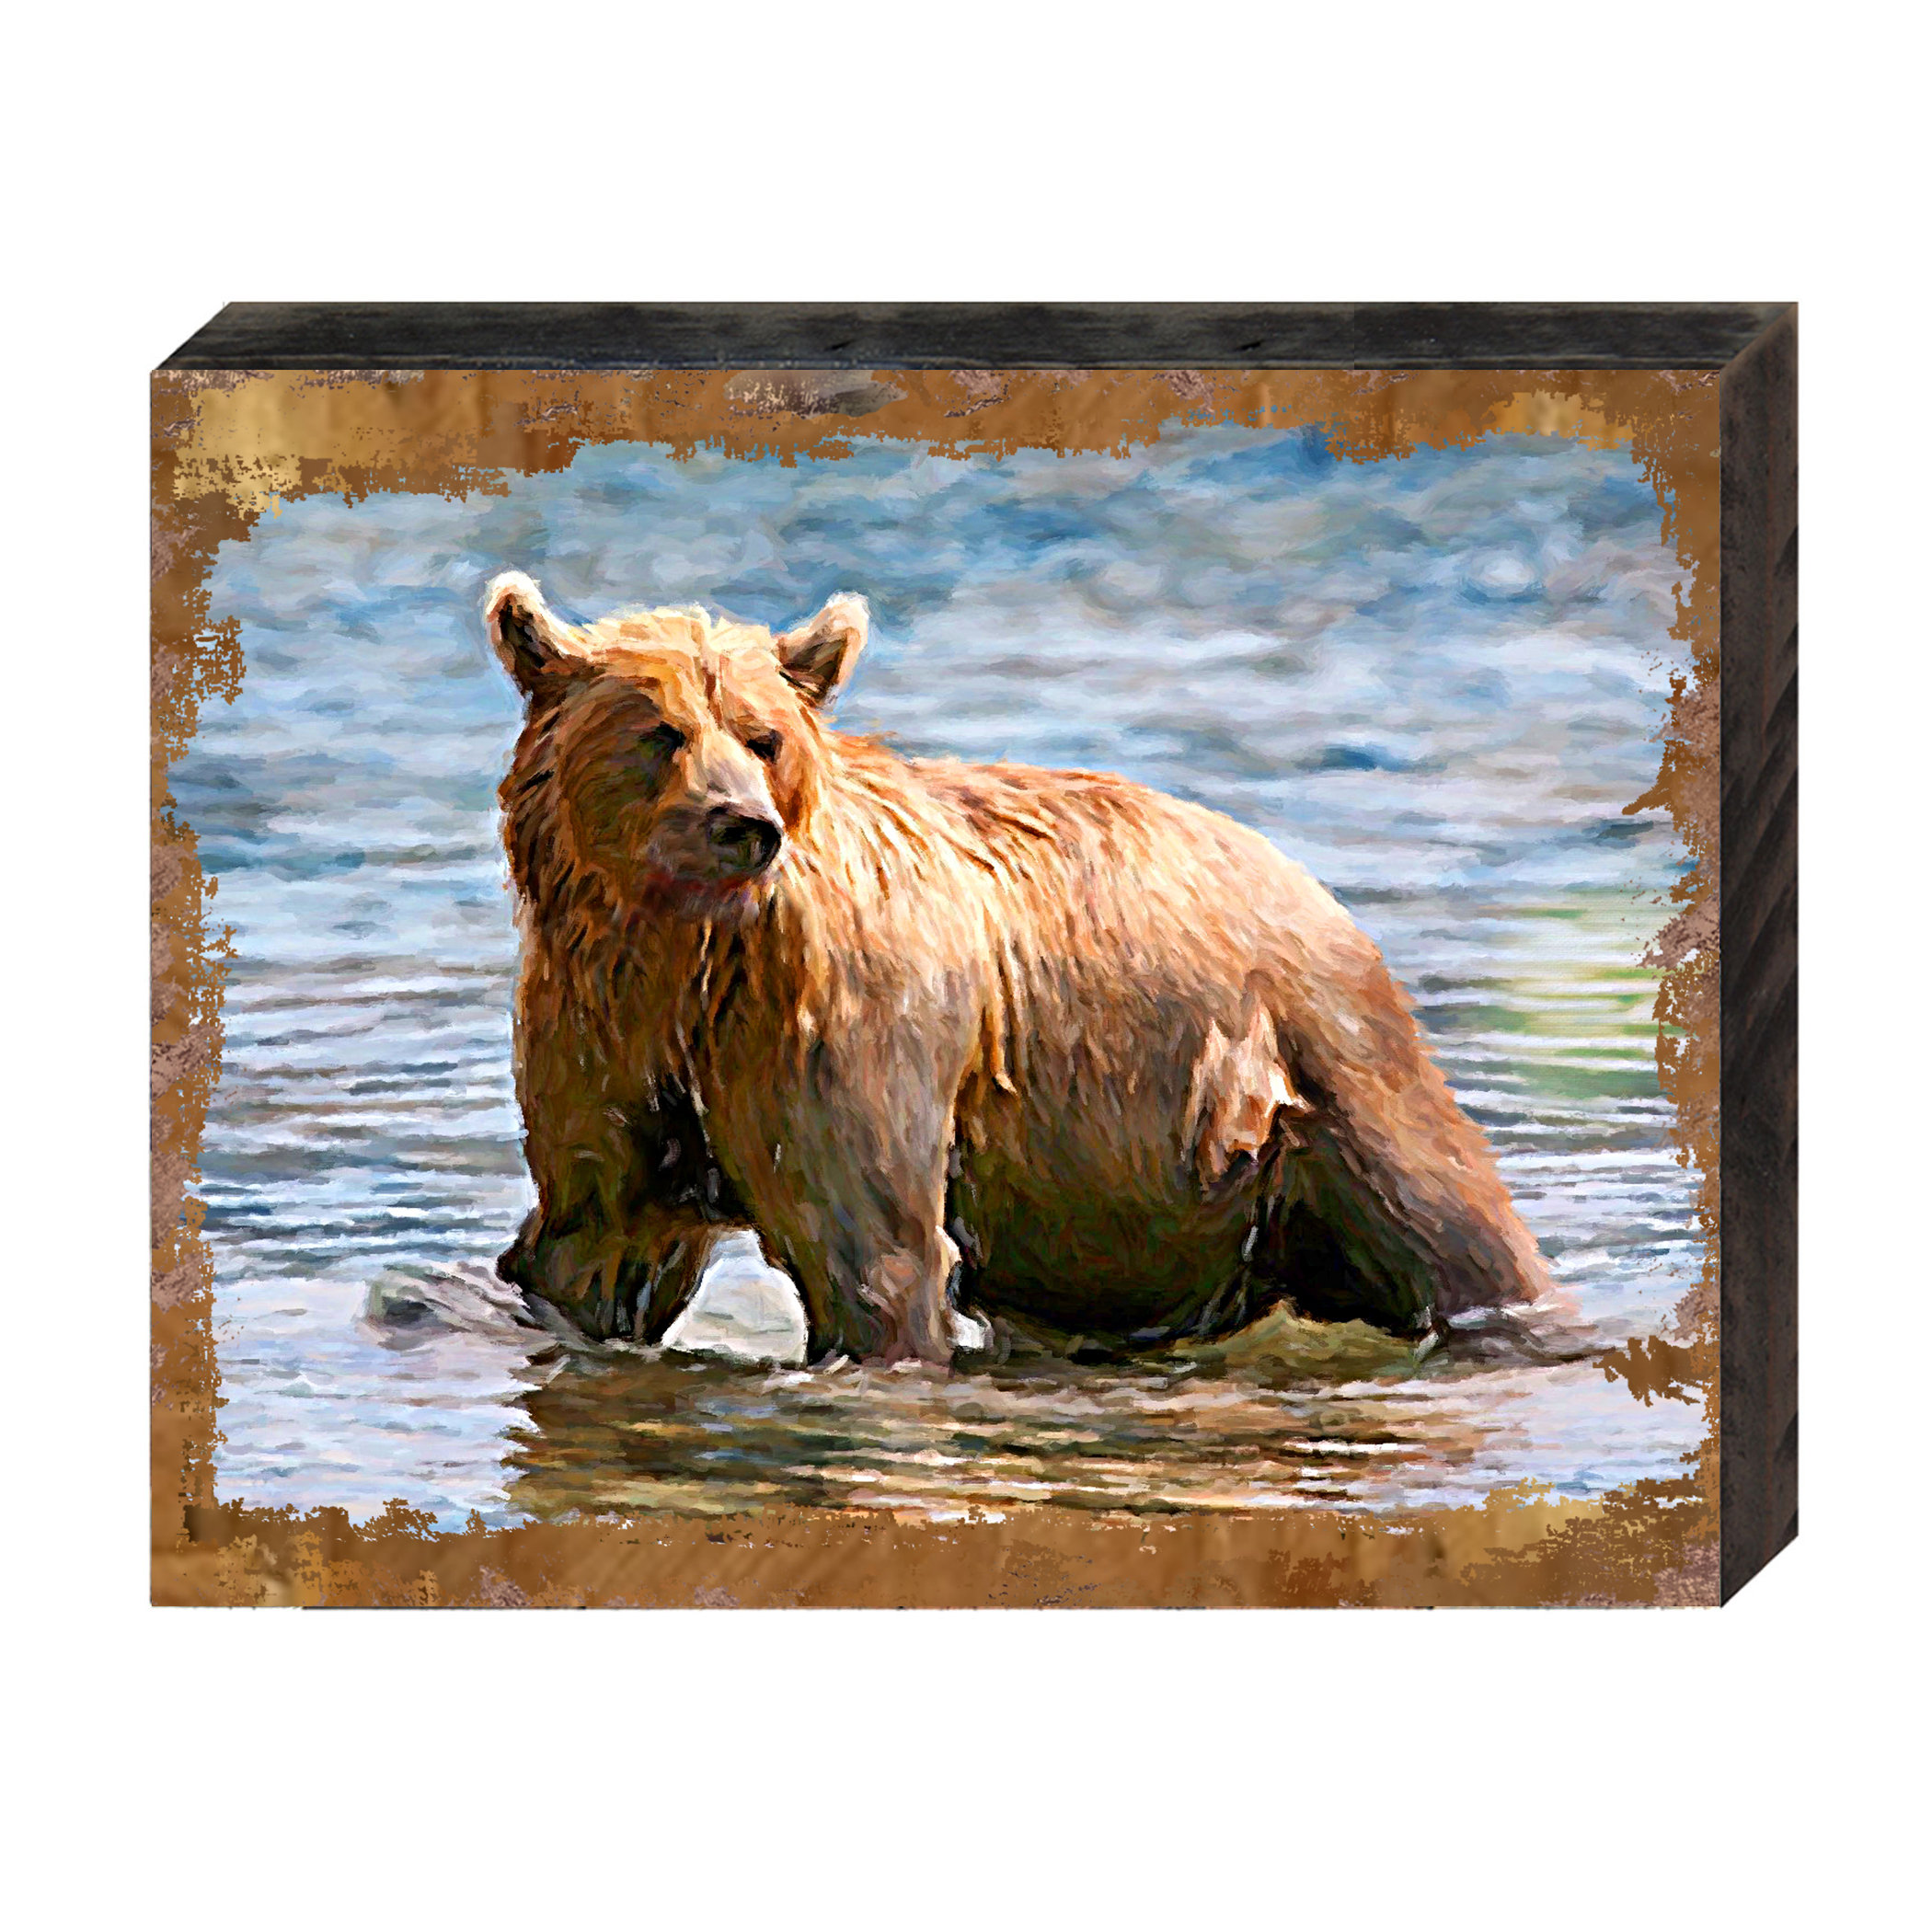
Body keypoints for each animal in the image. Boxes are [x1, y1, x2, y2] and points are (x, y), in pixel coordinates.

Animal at [485, 571, 1557, 1368]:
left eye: (763, 736)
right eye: (660, 732)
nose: (742, 825)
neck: (687, 949)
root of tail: (1304, 879)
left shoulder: (835, 1027)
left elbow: (871, 1251)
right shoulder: (605, 1025)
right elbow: (595, 1235)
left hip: (1318, 1064)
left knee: (1450, 1226)